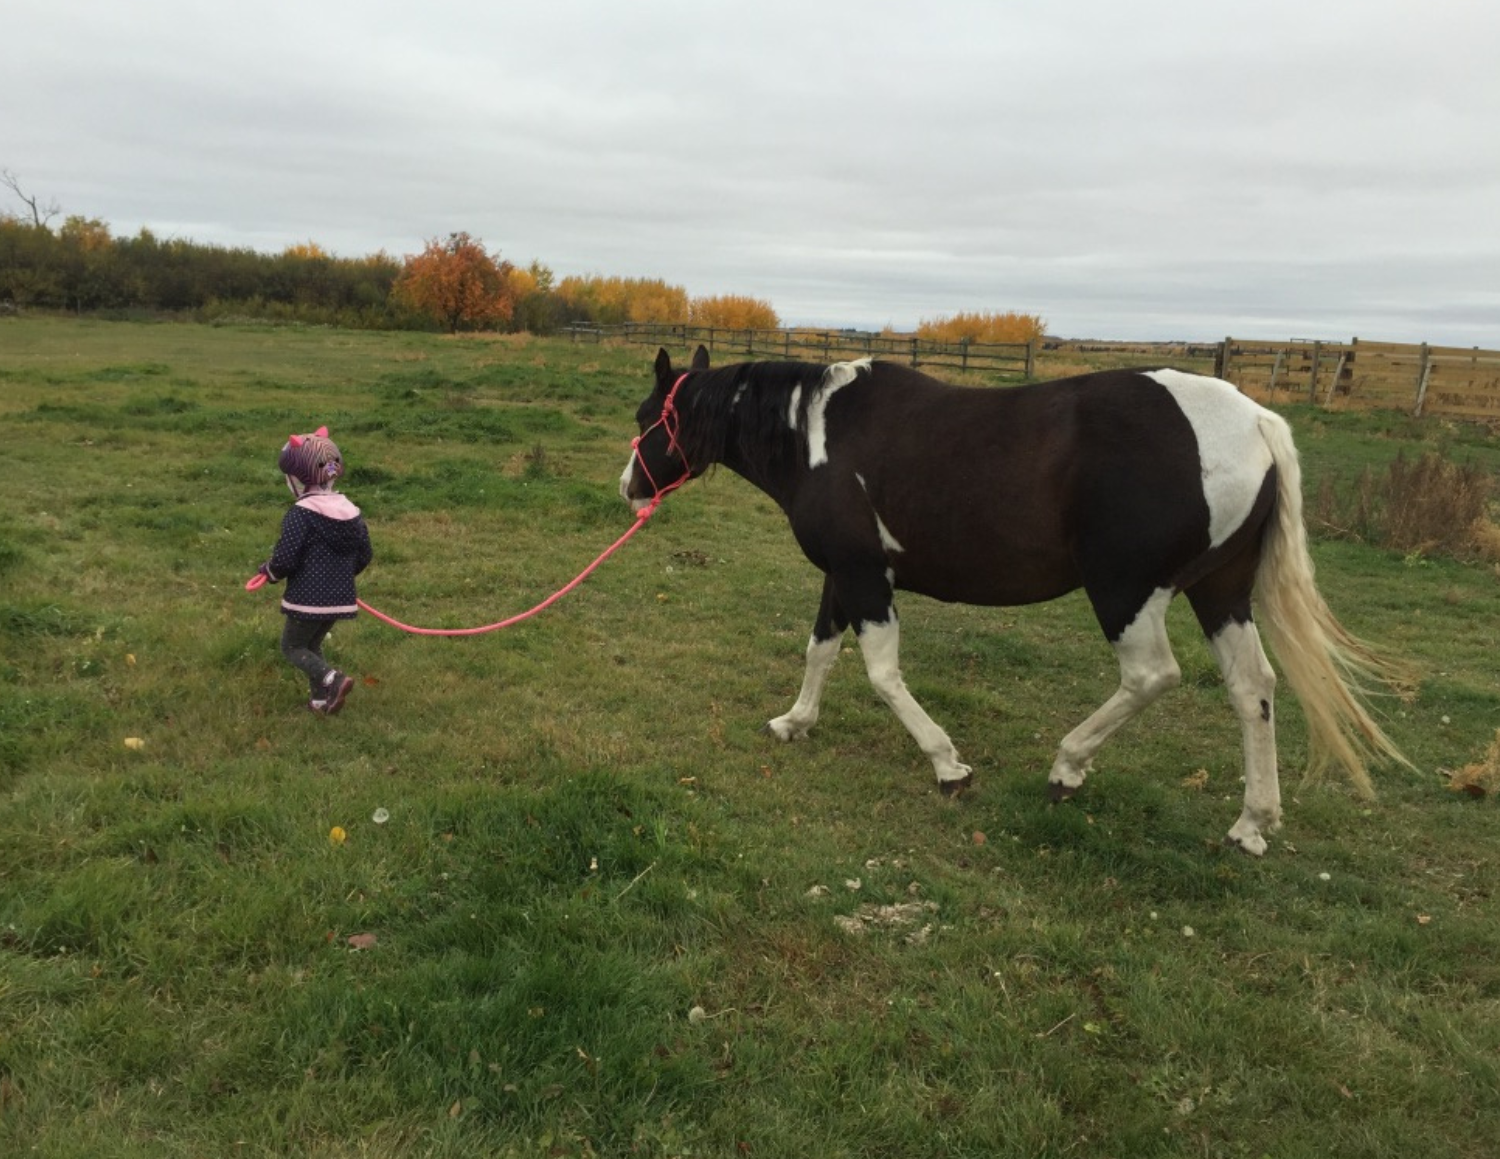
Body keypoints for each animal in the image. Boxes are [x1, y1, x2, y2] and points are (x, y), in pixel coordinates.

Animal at [619, 346, 1409, 855]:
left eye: (646, 415)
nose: (629, 486)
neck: (818, 436)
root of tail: (1254, 423)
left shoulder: (865, 577)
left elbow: (880, 674)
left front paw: (948, 765)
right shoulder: (844, 576)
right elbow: (820, 649)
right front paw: (795, 722)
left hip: (1126, 591)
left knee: (1152, 676)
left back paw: (1067, 768)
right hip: (1221, 591)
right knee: (1254, 689)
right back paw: (1251, 824)